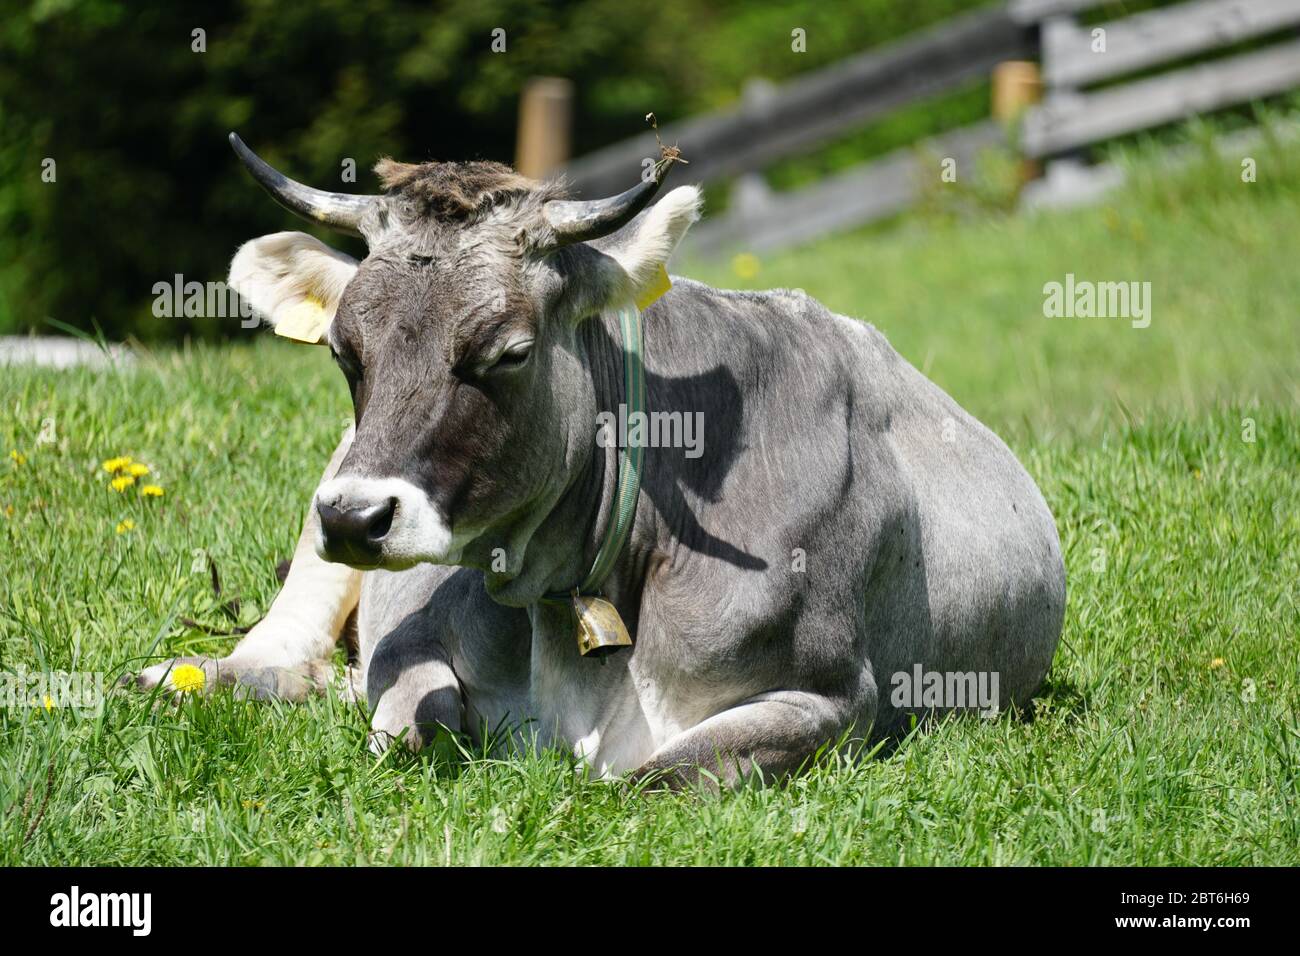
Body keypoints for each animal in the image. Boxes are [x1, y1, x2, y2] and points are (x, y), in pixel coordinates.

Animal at [136, 133, 1066, 788]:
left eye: (509, 353)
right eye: (343, 351)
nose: (355, 516)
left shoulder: (833, 698)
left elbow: (646, 780)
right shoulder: (409, 642)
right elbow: (408, 735)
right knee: (280, 653)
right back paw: (178, 675)